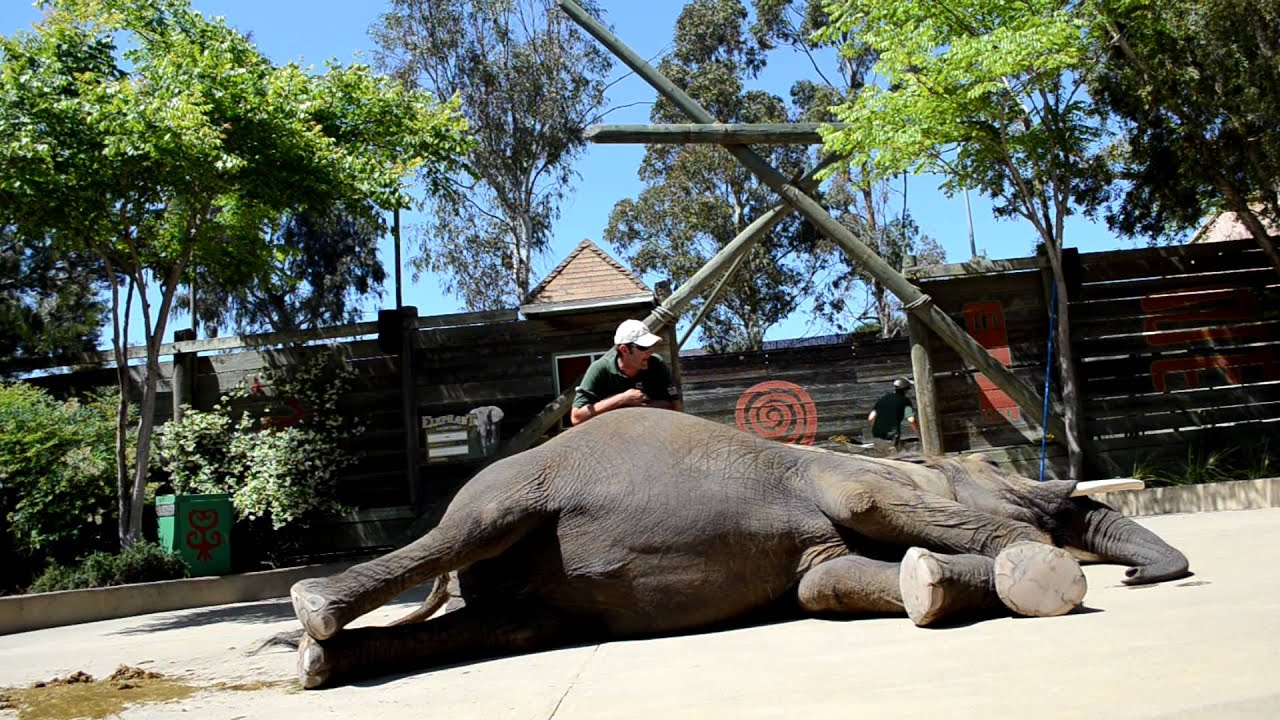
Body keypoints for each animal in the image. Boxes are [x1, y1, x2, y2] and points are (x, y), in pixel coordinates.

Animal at [290, 408, 1189, 688]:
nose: (1142, 577)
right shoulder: (852, 479)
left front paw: (931, 584)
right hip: (511, 492)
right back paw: (311, 611)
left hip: (529, 606)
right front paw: (1038, 567)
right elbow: (870, 510)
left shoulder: (824, 548)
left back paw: (318, 663)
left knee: (500, 626)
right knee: (463, 532)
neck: (907, 455)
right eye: (996, 473)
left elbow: (823, 587)